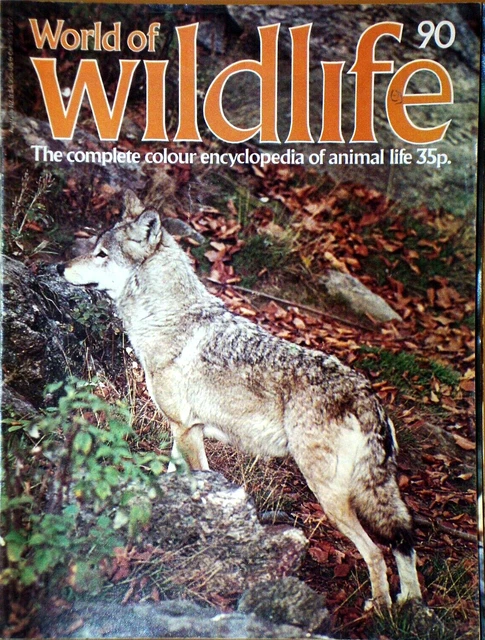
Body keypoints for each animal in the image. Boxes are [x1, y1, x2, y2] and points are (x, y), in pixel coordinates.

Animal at [58, 190, 422, 609]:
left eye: (101, 253)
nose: (59, 267)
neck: (167, 320)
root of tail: (368, 398)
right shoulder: (183, 430)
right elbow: (170, 476)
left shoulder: (187, 431)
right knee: (404, 541)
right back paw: (411, 605)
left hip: (330, 494)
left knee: (376, 552)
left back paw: (380, 607)